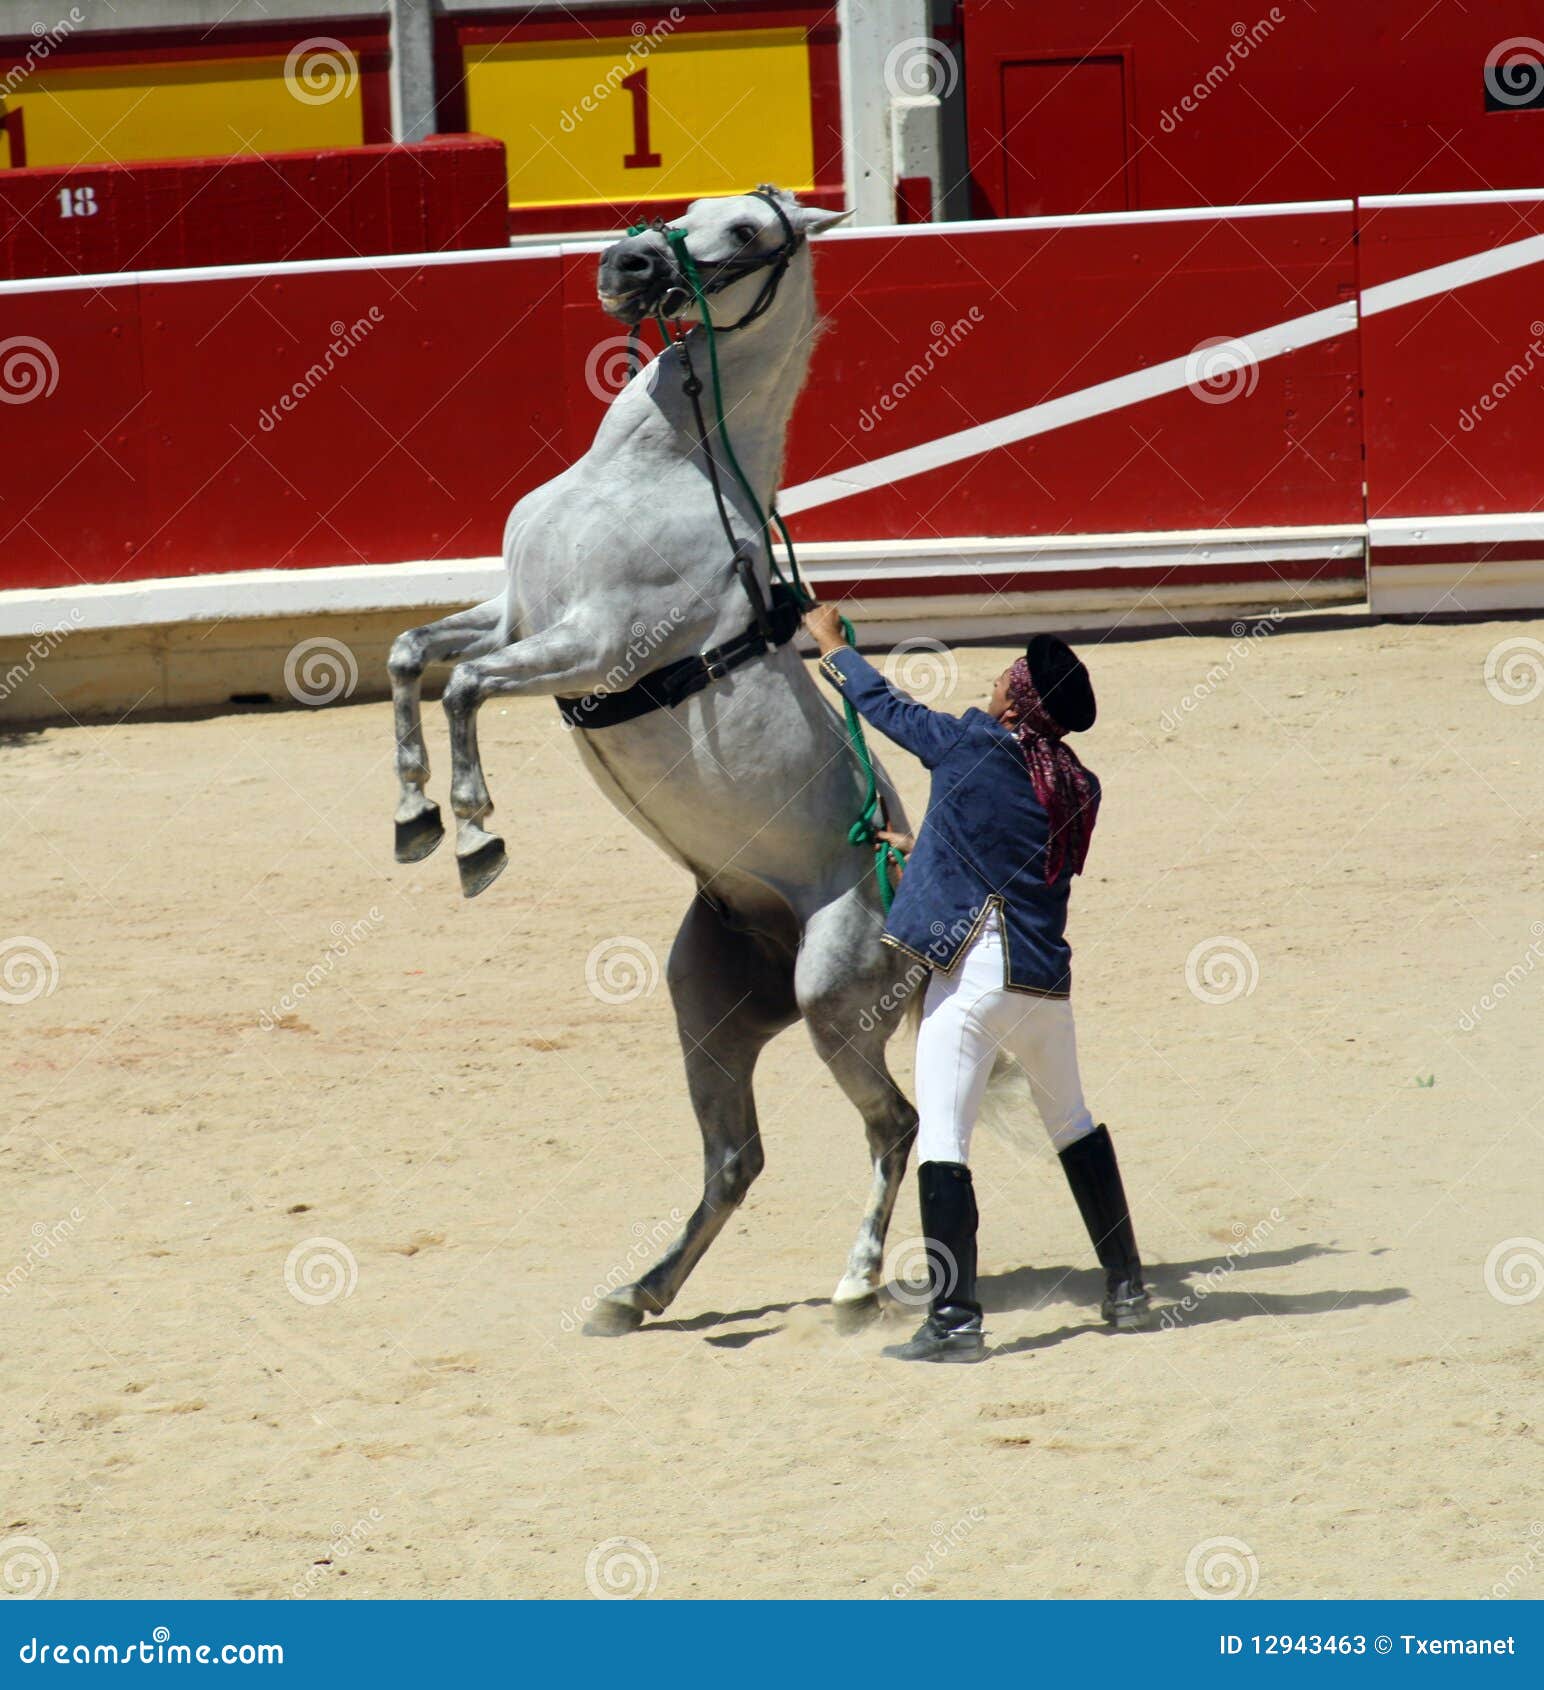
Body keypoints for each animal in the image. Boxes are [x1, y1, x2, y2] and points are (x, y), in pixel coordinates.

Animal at [386, 187, 921, 1334]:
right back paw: (637, 1293)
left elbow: (464, 688)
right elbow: (413, 656)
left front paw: (476, 833)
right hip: (705, 1011)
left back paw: (856, 1285)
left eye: (752, 233)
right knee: (735, 1157)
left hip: (831, 999)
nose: (624, 265)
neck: (656, 467)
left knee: (892, 1124)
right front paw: (412, 818)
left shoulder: (593, 644)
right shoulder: (514, 610)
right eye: (687, 210)